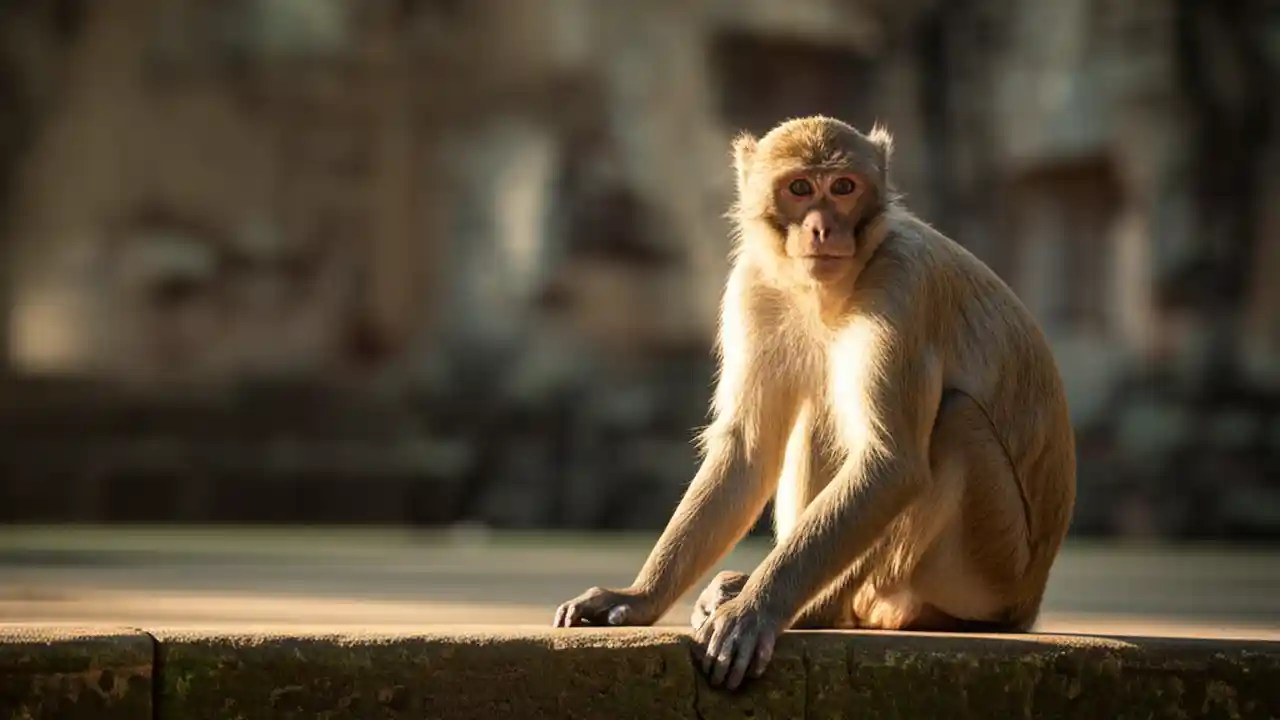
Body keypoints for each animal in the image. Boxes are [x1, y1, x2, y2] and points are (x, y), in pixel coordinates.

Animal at [553, 116, 1076, 691]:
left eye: (844, 187)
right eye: (800, 188)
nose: (822, 228)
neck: (834, 289)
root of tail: (1028, 604)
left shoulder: (902, 282)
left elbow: (891, 463)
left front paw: (755, 611)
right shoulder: (754, 283)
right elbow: (749, 450)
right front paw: (640, 597)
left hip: (988, 568)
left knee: (954, 422)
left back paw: (814, 609)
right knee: (820, 419)